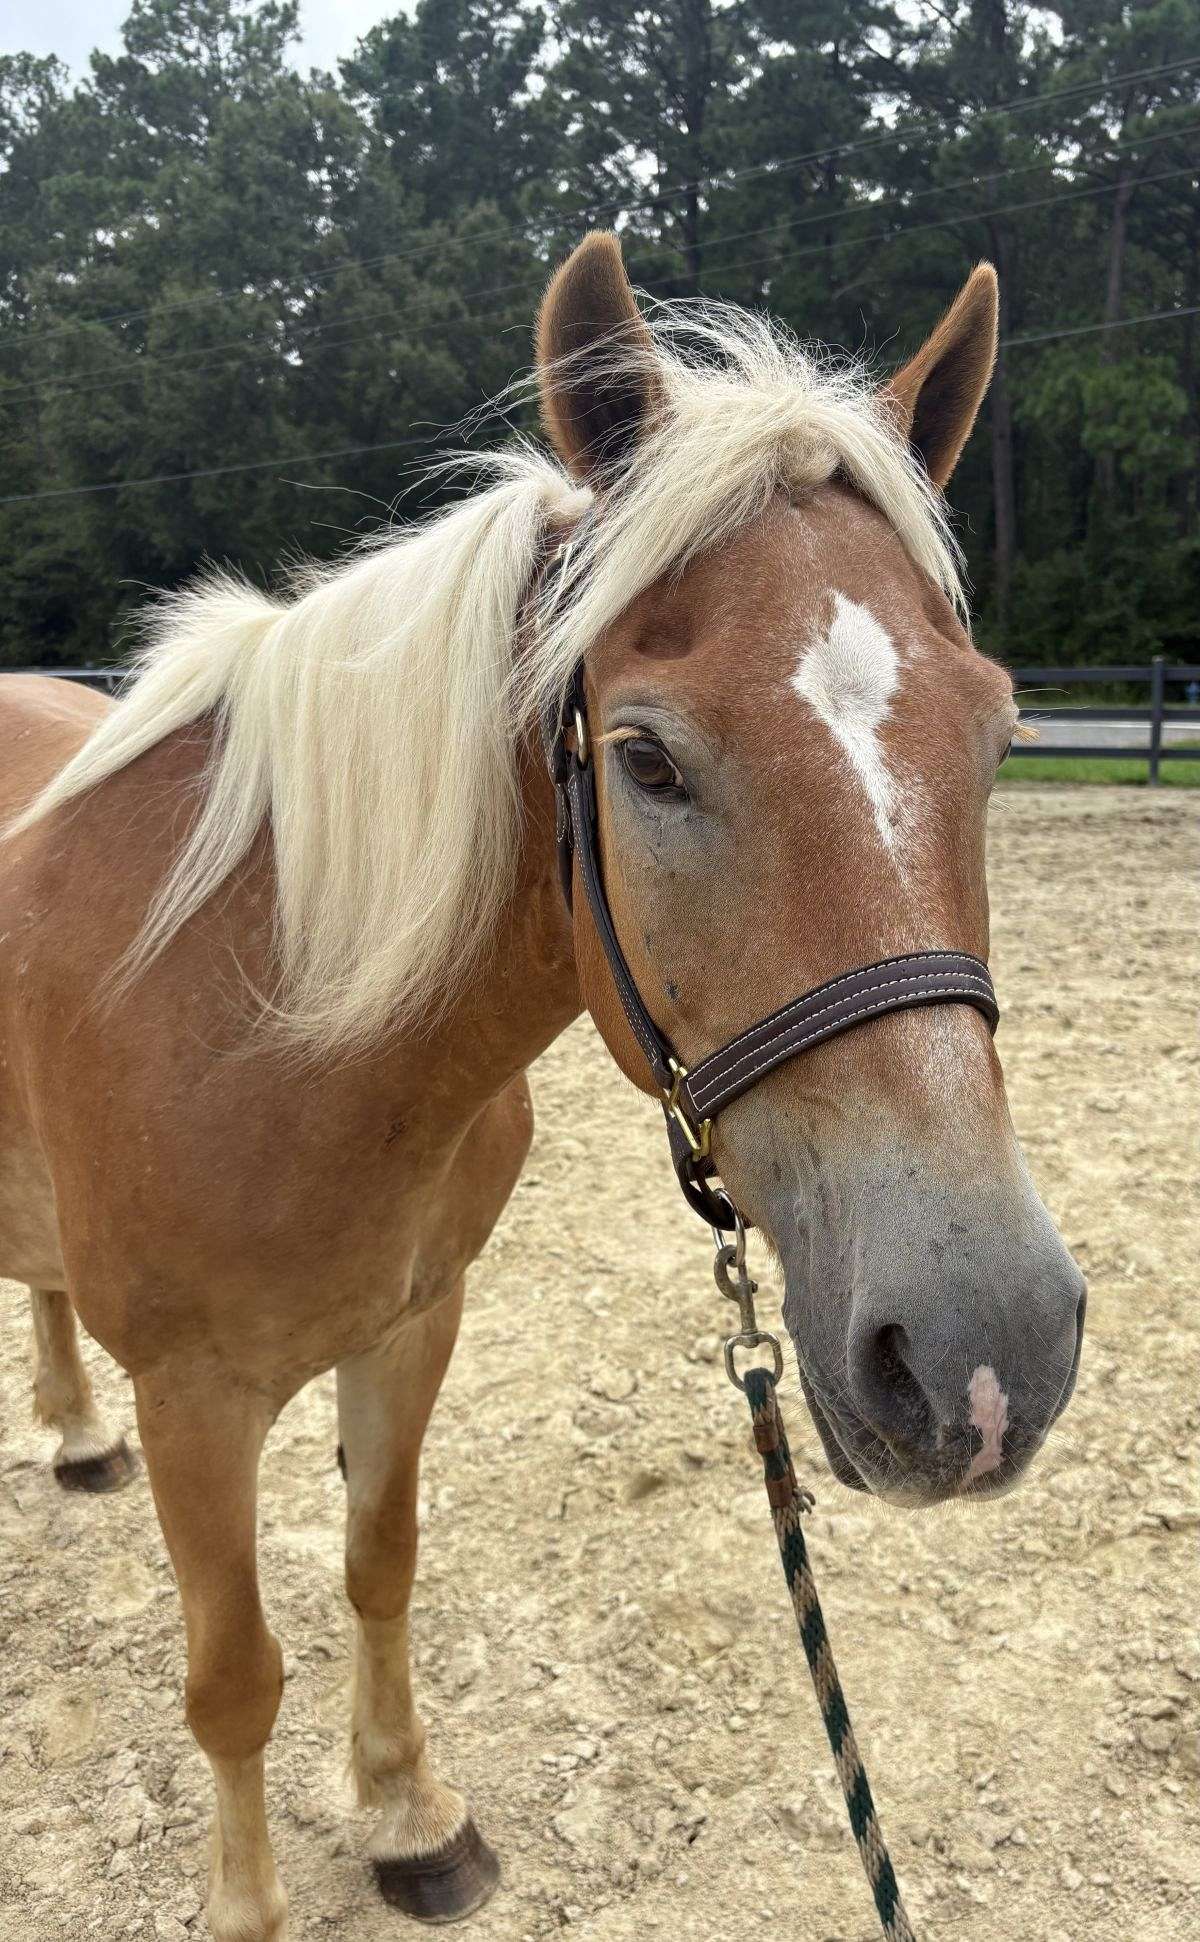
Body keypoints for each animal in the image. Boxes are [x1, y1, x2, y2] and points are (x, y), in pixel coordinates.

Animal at [0, 232, 1085, 1939]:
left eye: (995, 736)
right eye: (645, 759)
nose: (988, 1357)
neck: (272, 1011)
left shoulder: (412, 1321)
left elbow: (380, 1562)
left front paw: (407, 1814)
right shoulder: (196, 1398)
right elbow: (233, 1676)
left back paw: (67, 1431)